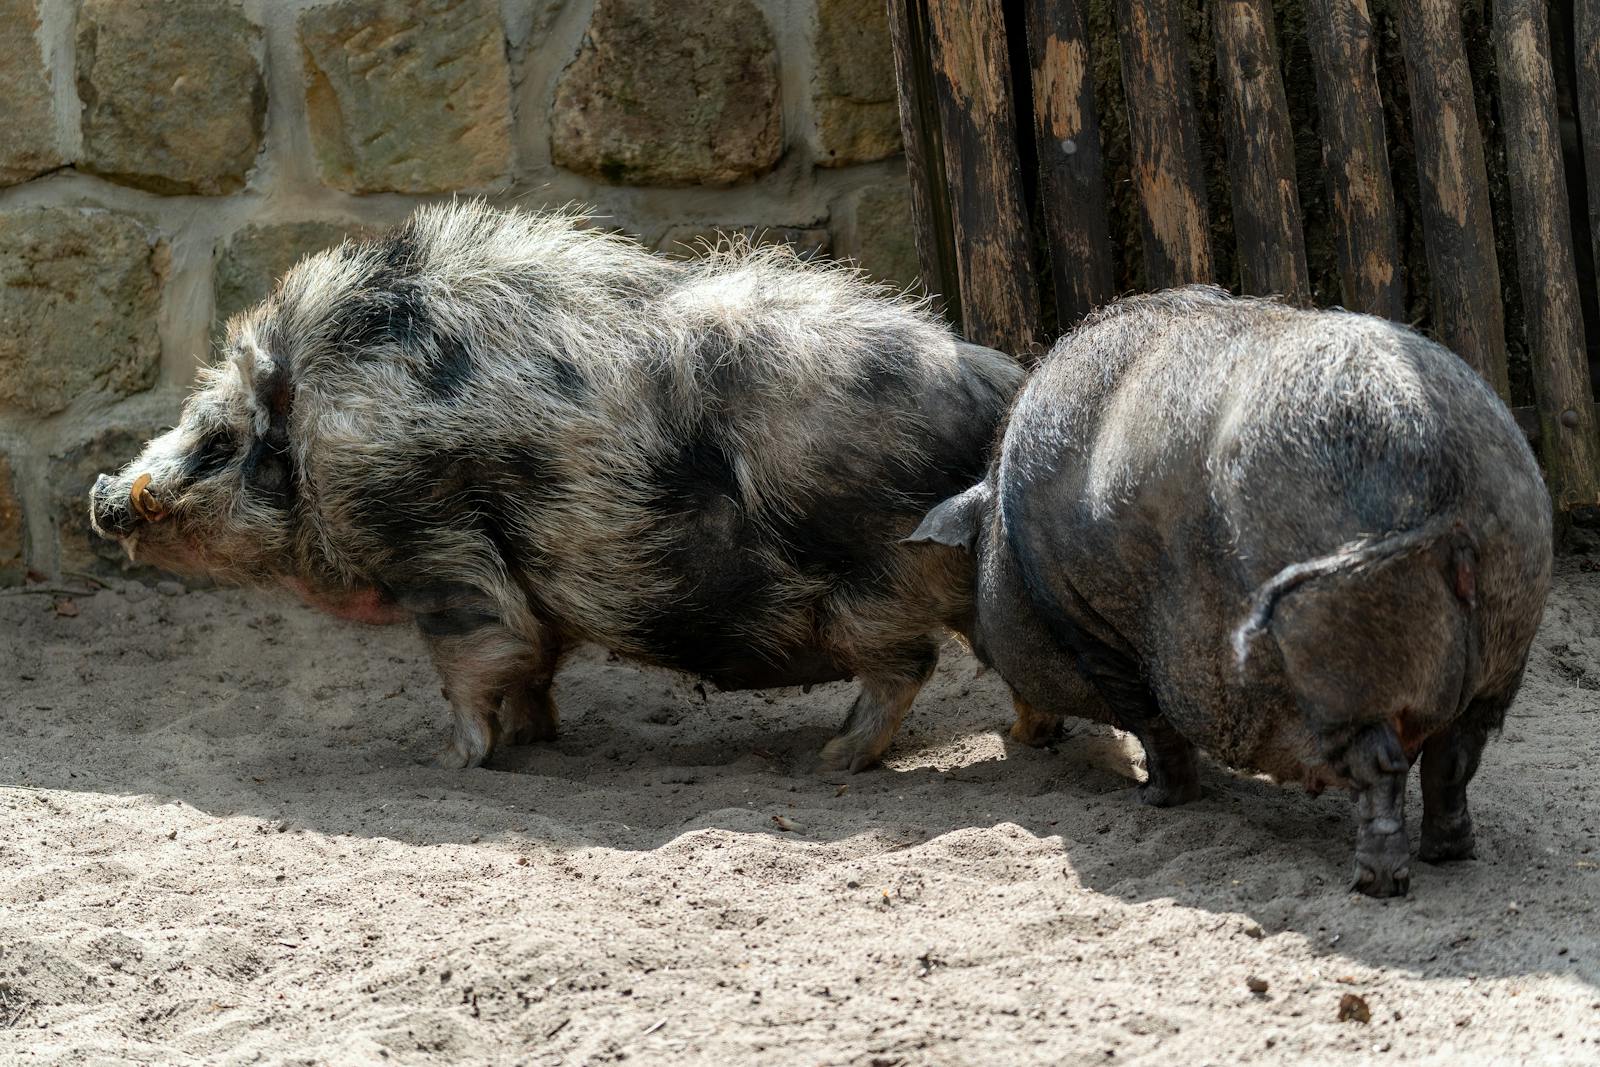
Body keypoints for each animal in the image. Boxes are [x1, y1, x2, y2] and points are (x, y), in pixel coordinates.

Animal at [90, 201, 1024, 770]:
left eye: (217, 442)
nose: (104, 496)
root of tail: (997, 386)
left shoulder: (432, 546)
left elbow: (478, 656)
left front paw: (452, 759)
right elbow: (534, 660)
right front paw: (537, 739)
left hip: (877, 581)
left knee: (910, 661)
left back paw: (834, 757)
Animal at [908, 287, 1552, 896]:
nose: (1018, 735)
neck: (1014, 546)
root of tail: (1441, 472)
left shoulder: (1093, 628)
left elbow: (1152, 724)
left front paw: (1156, 799)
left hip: (1345, 654)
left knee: (1383, 766)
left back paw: (1374, 883)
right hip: (1508, 624)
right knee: (1455, 758)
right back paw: (1449, 853)